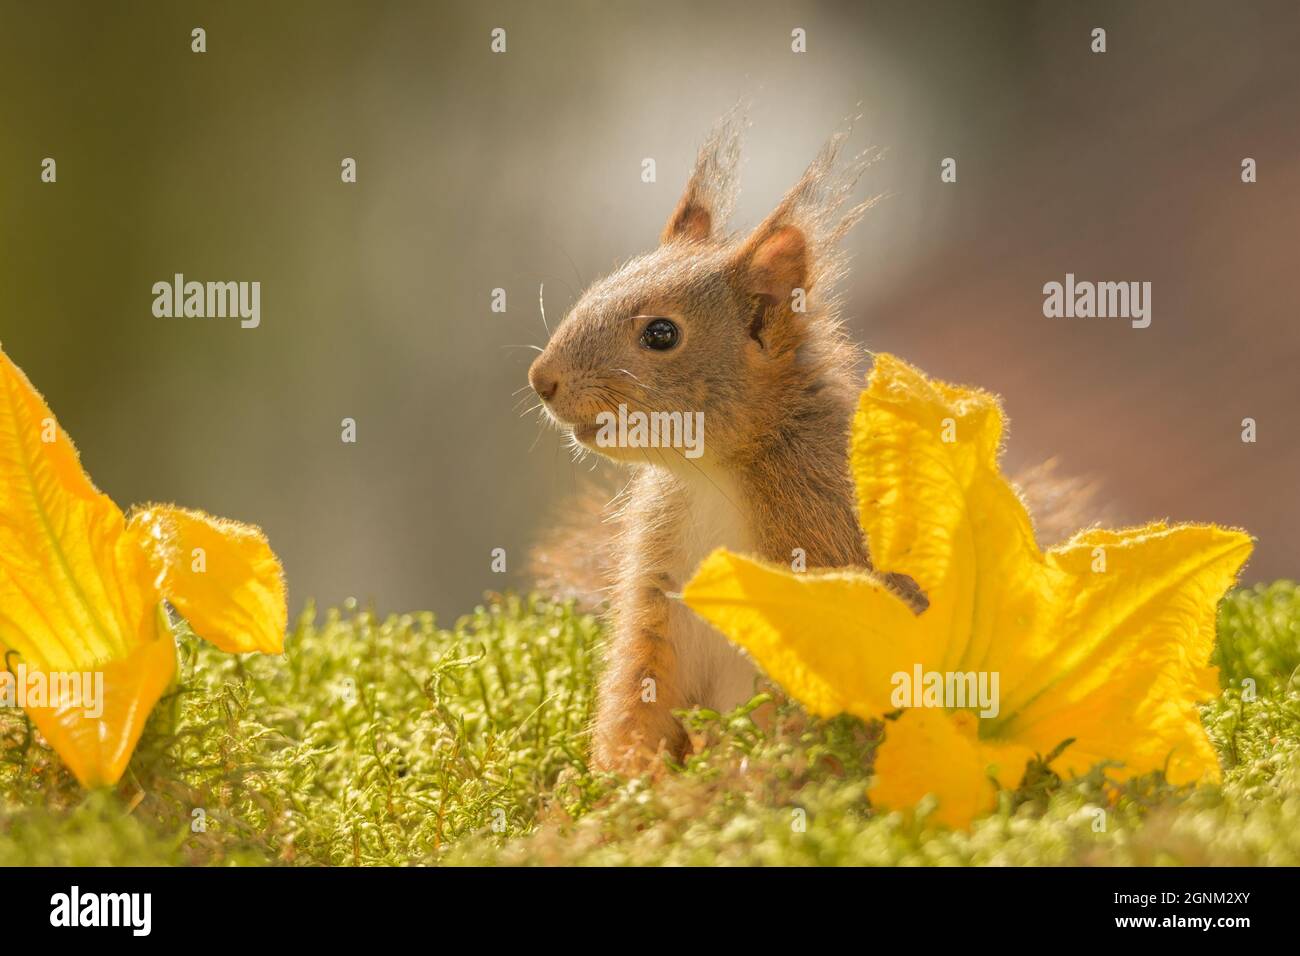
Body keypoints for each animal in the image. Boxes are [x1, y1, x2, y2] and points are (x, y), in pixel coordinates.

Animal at [527, 111, 1101, 773]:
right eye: (595, 289)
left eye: (662, 334)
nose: (541, 380)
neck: (714, 474)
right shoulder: (658, 591)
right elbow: (638, 685)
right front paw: (621, 776)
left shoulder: (823, 551)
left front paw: (745, 776)